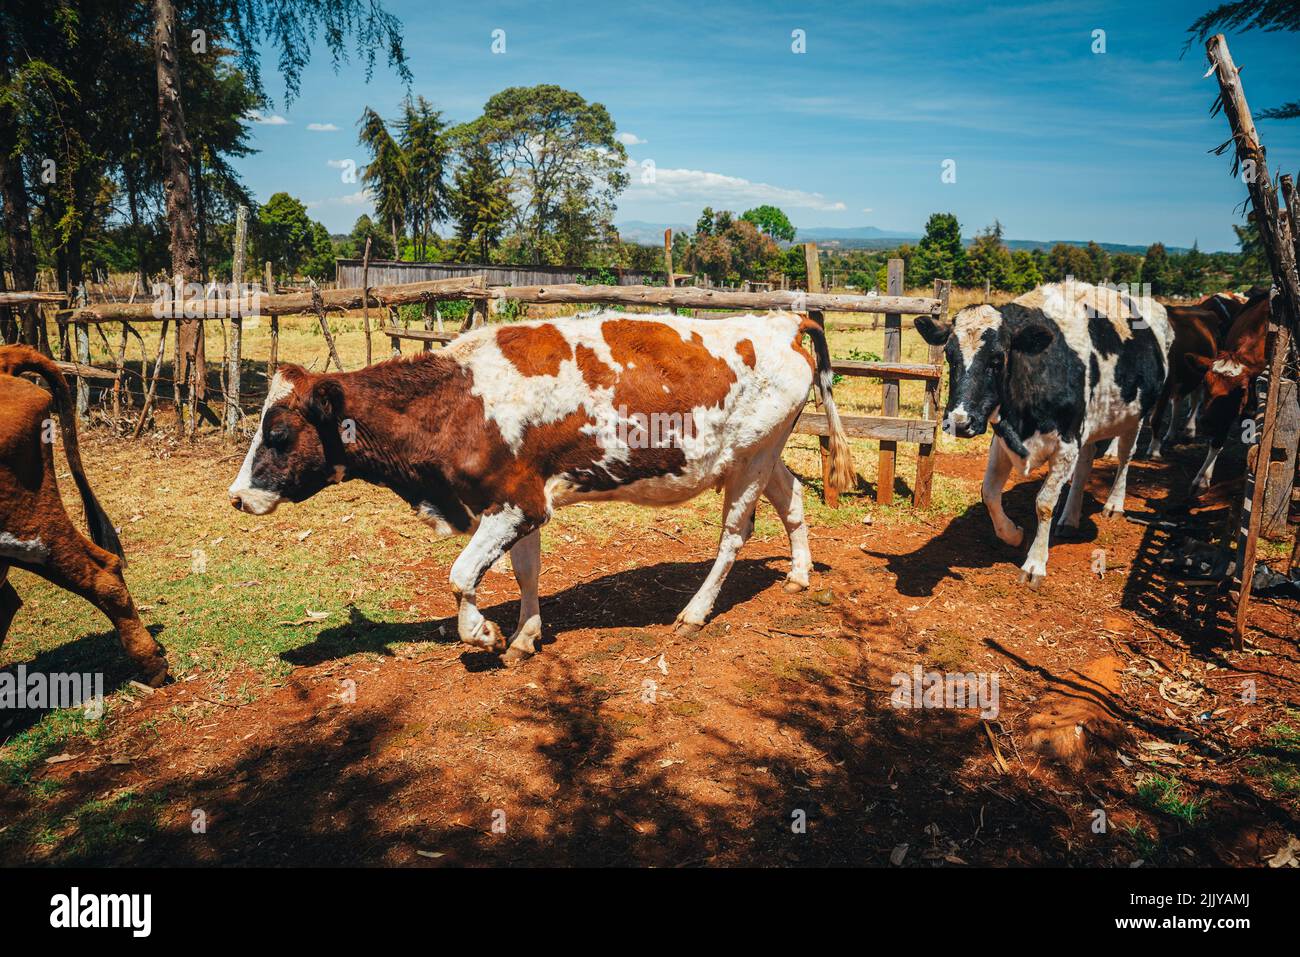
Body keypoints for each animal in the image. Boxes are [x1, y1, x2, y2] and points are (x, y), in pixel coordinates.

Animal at [227, 311, 856, 664]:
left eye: (278, 433)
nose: (237, 497)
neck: (457, 400)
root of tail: (780, 320)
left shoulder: (514, 503)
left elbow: (461, 576)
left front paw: (482, 634)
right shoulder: (520, 499)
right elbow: (525, 571)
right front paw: (525, 634)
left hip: (750, 459)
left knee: (733, 535)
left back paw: (696, 611)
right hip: (761, 454)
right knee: (793, 497)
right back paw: (799, 574)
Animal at [915, 281, 1172, 586]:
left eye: (997, 360)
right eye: (950, 357)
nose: (960, 422)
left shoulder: (1066, 442)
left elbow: (1045, 503)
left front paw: (1035, 563)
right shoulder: (1003, 439)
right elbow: (989, 492)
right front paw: (1012, 534)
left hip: (1136, 415)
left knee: (1125, 457)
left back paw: (1114, 504)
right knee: (1084, 467)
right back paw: (1070, 518)